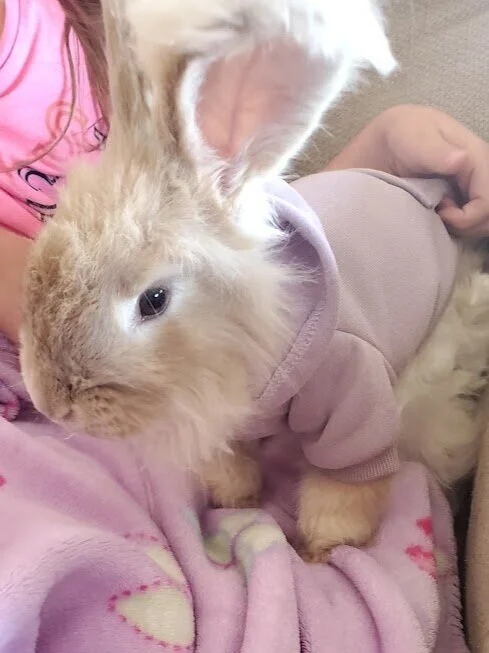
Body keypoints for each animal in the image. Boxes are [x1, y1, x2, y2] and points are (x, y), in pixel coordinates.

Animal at [19, 0, 489, 563]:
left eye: (153, 300)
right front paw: (235, 500)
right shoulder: (227, 423)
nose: (51, 404)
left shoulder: (356, 401)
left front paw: (325, 550)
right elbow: (230, 464)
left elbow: (343, 489)